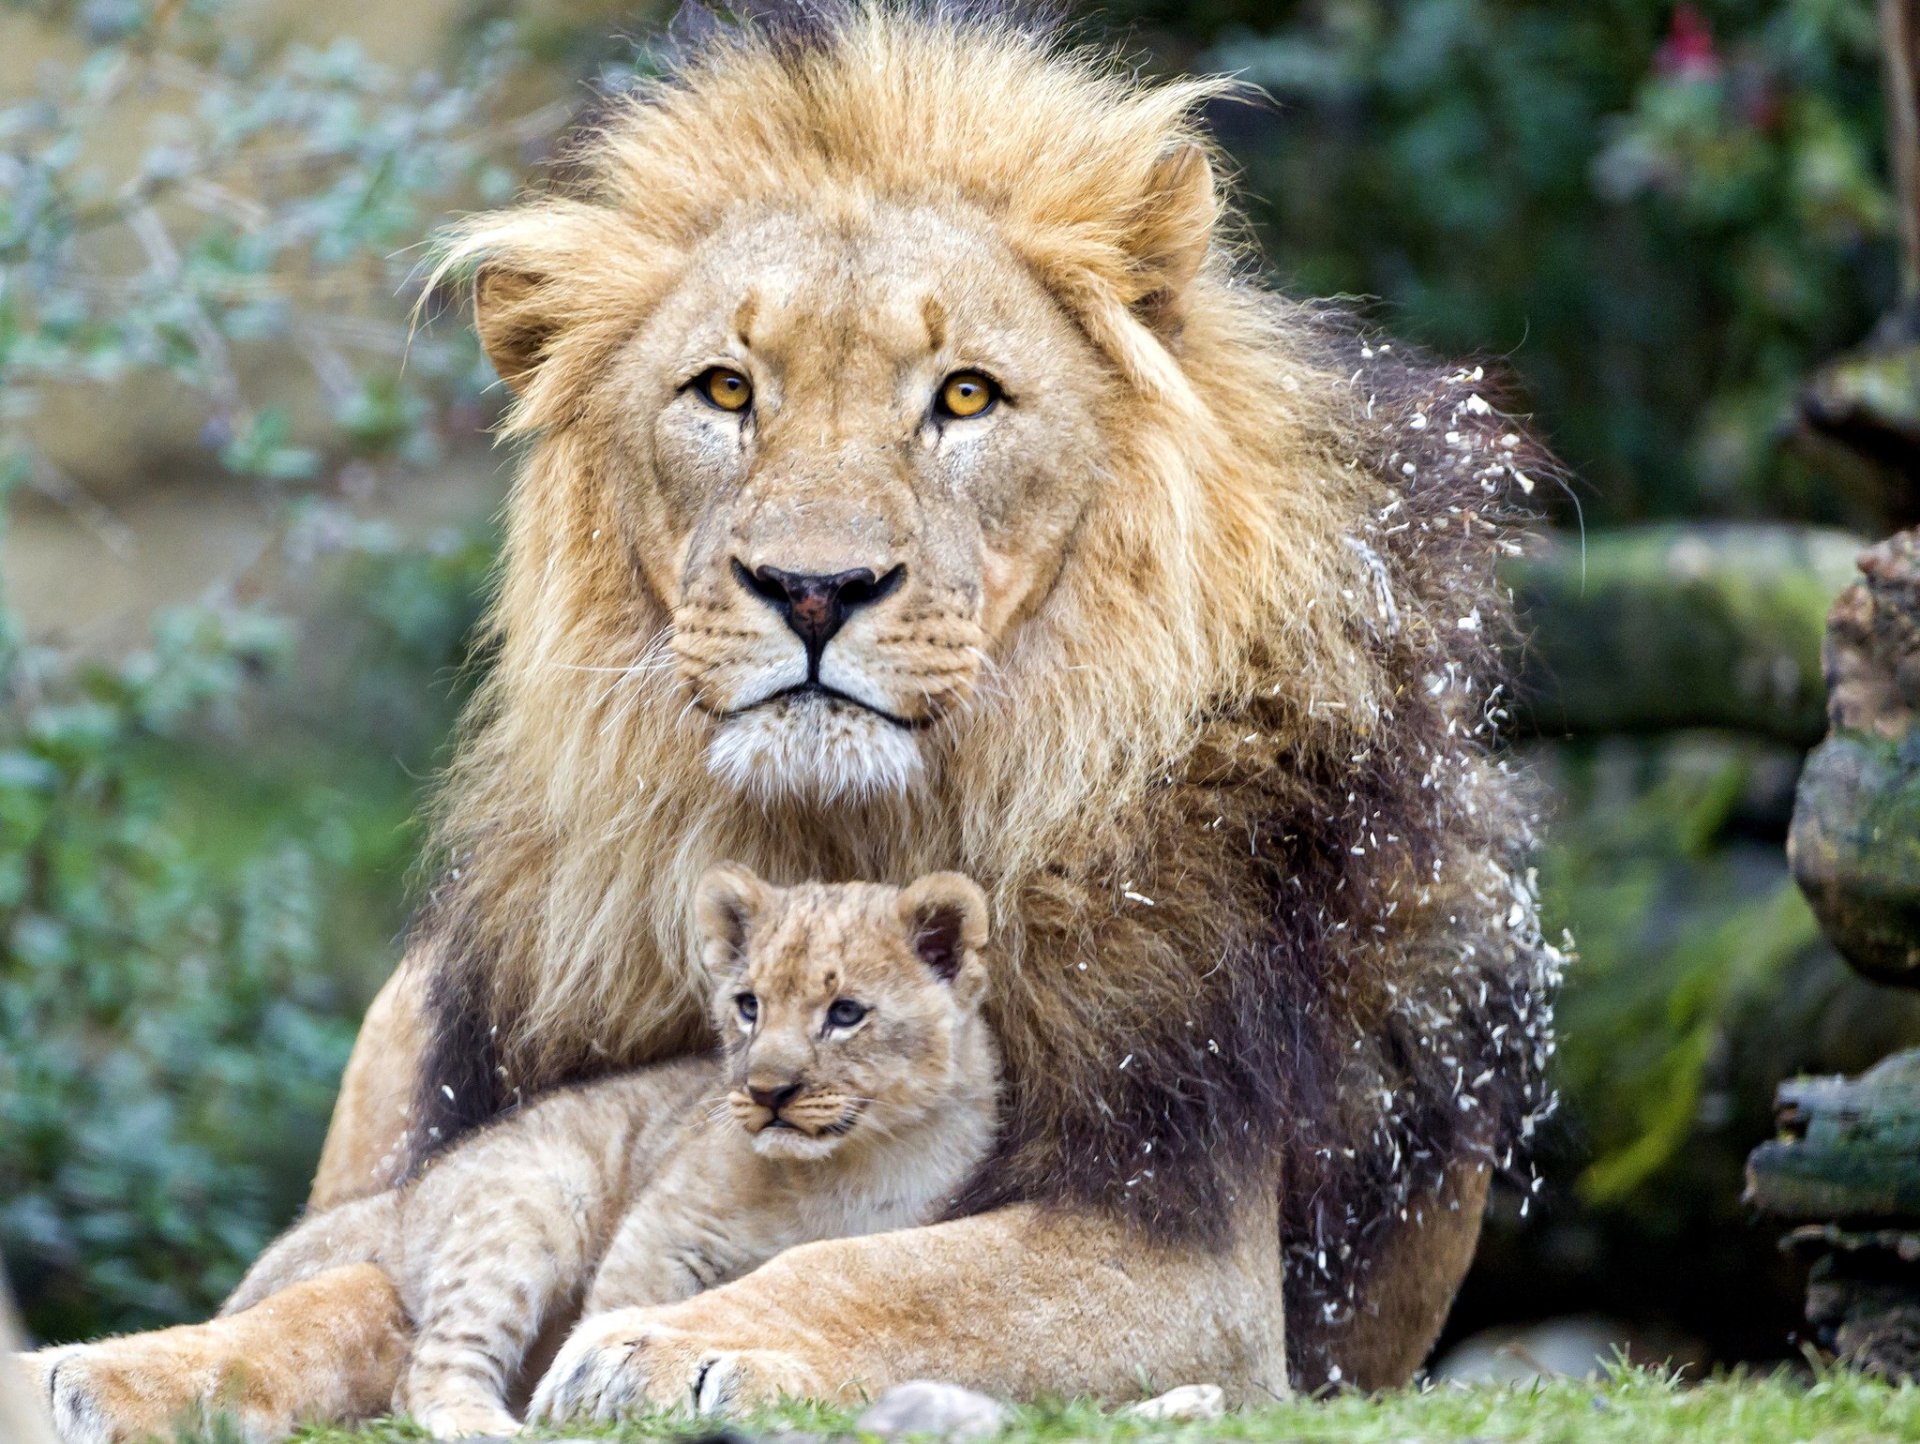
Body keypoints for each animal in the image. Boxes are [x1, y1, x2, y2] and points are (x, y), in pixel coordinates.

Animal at [21, 2, 1561, 1433]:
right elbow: (352, 1290)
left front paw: (661, 1343)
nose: (815, 589)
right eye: (725, 390)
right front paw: (115, 1370)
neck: (830, 837)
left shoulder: (1184, 1244)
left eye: (964, 396)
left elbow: (896, 1271)